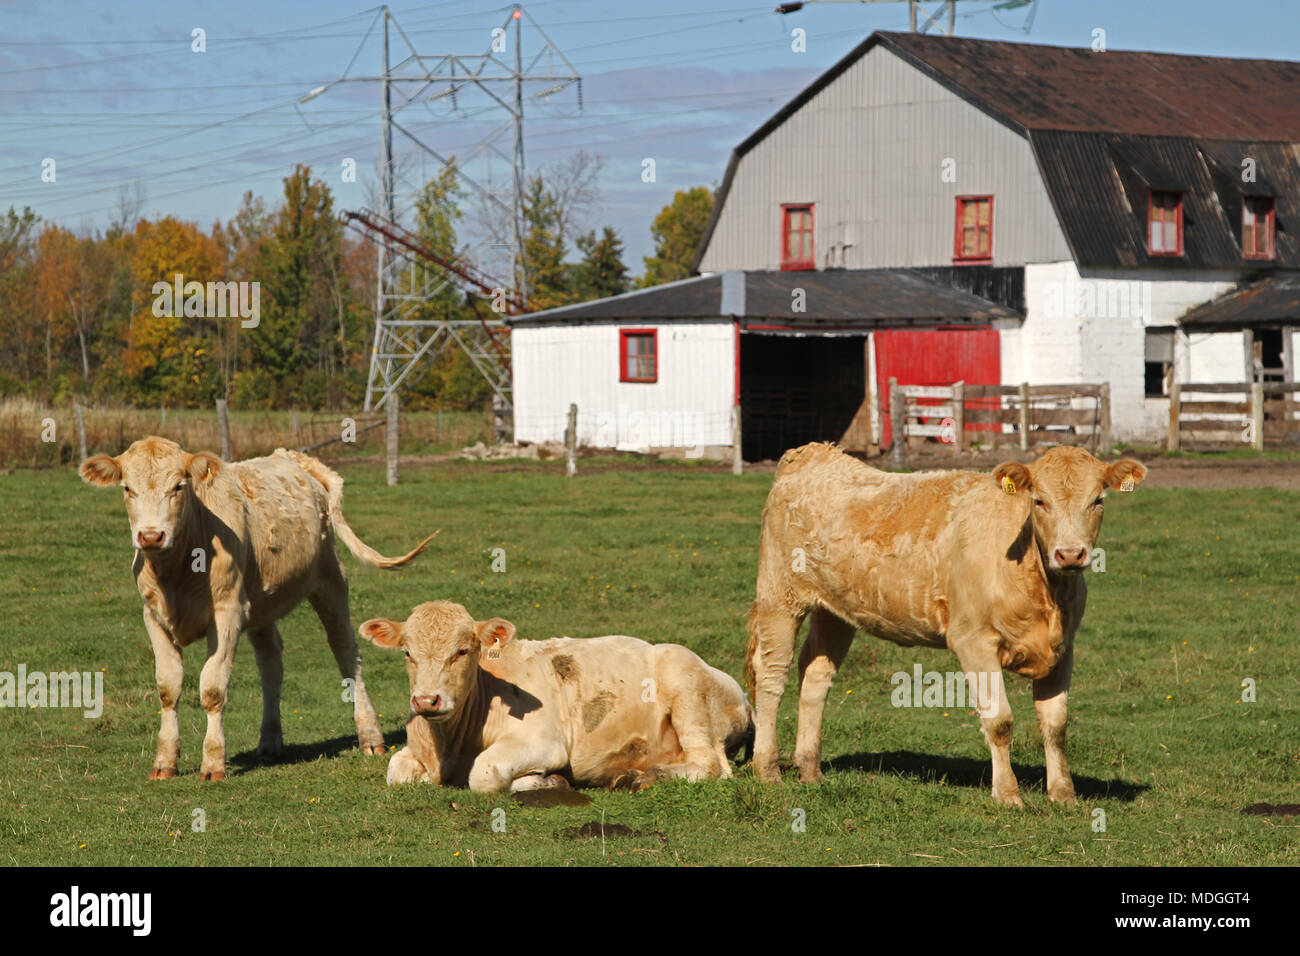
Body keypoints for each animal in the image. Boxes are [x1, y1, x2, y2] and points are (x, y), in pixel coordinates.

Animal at [79, 436, 435, 781]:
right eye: (127, 488)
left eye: (178, 486)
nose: (151, 536)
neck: (177, 569)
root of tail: (292, 457)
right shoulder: (153, 617)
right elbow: (168, 687)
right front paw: (165, 762)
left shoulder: (227, 614)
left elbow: (212, 688)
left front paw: (213, 764)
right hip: (263, 605)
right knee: (271, 663)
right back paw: (270, 741)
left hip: (330, 580)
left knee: (346, 652)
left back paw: (370, 736)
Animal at [359, 600, 753, 792]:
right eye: (407, 653)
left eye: (462, 651)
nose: (427, 700)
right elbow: (396, 773)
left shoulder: (545, 741)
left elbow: (484, 773)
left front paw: (546, 781)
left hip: (687, 693)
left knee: (710, 765)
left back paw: (648, 777)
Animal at [744, 442, 1146, 806]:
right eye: (1039, 502)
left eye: (1097, 501)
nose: (1070, 554)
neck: (1044, 590)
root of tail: (814, 453)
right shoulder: (973, 640)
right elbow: (1000, 722)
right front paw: (1008, 796)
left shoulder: (1064, 647)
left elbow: (1056, 725)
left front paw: (1063, 795)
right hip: (779, 596)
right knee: (772, 676)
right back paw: (767, 770)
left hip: (835, 611)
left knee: (815, 675)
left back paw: (810, 770)